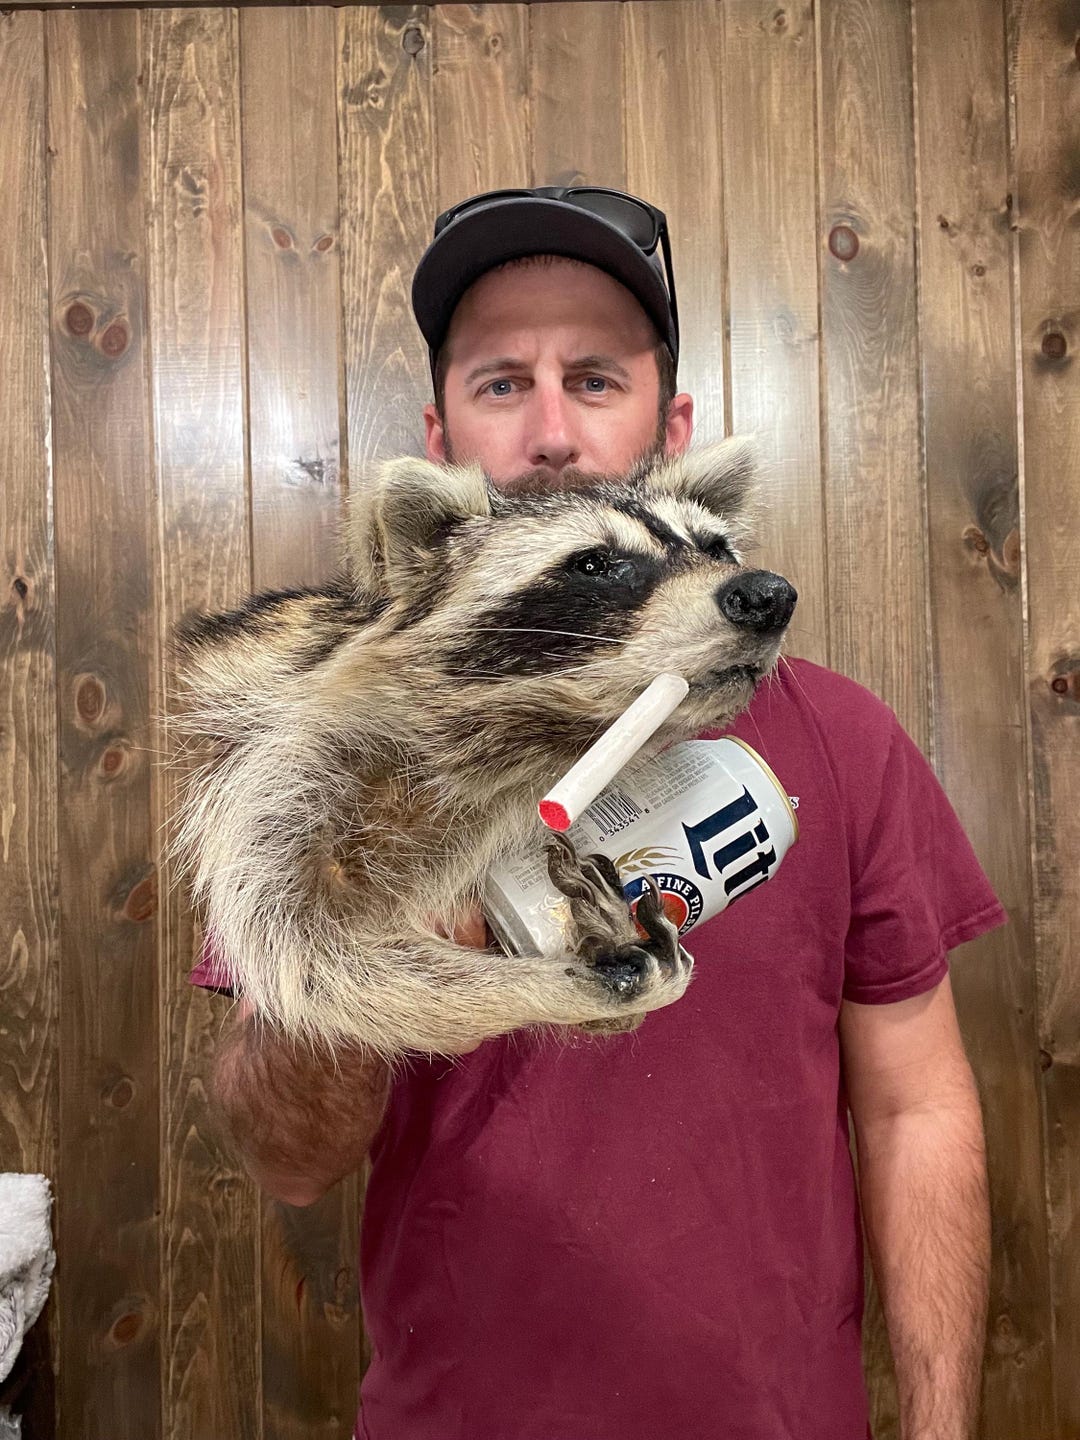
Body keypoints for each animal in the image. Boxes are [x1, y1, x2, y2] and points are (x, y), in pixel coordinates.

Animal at [173, 438, 797, 1060]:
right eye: (593, 564)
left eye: (715, 547)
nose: (768, 595)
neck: (544, 737)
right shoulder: (286, 757)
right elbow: (311, 957)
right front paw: (545, 985)